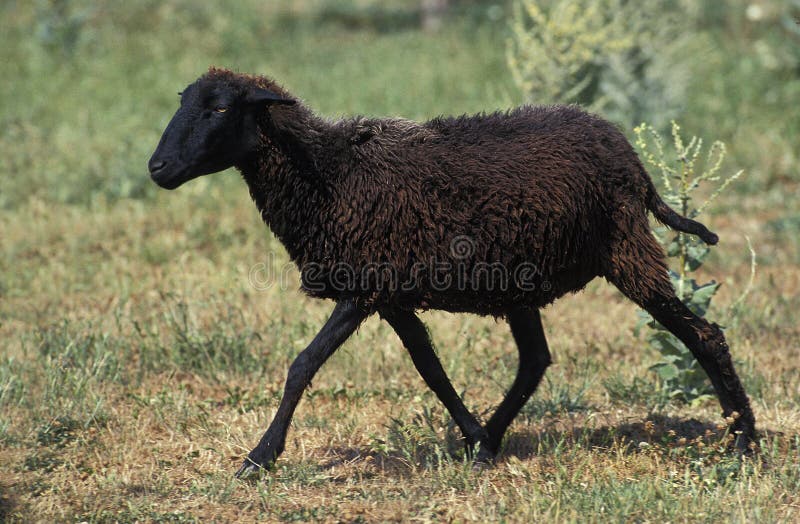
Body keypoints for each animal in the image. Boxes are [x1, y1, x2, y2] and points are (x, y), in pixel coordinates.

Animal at [148, 67, 755, 477]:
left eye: (220, 109)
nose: (157, 168)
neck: (330, 172)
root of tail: (632, 159)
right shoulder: (389, 294)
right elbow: (430, 368)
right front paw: (472, 438)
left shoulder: (365, 284)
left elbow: (302, 365)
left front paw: (259, 458)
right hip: (522, 280)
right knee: (535, 360)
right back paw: (492, 439)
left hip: (627, 251)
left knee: (705, 335)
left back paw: (744, 442)